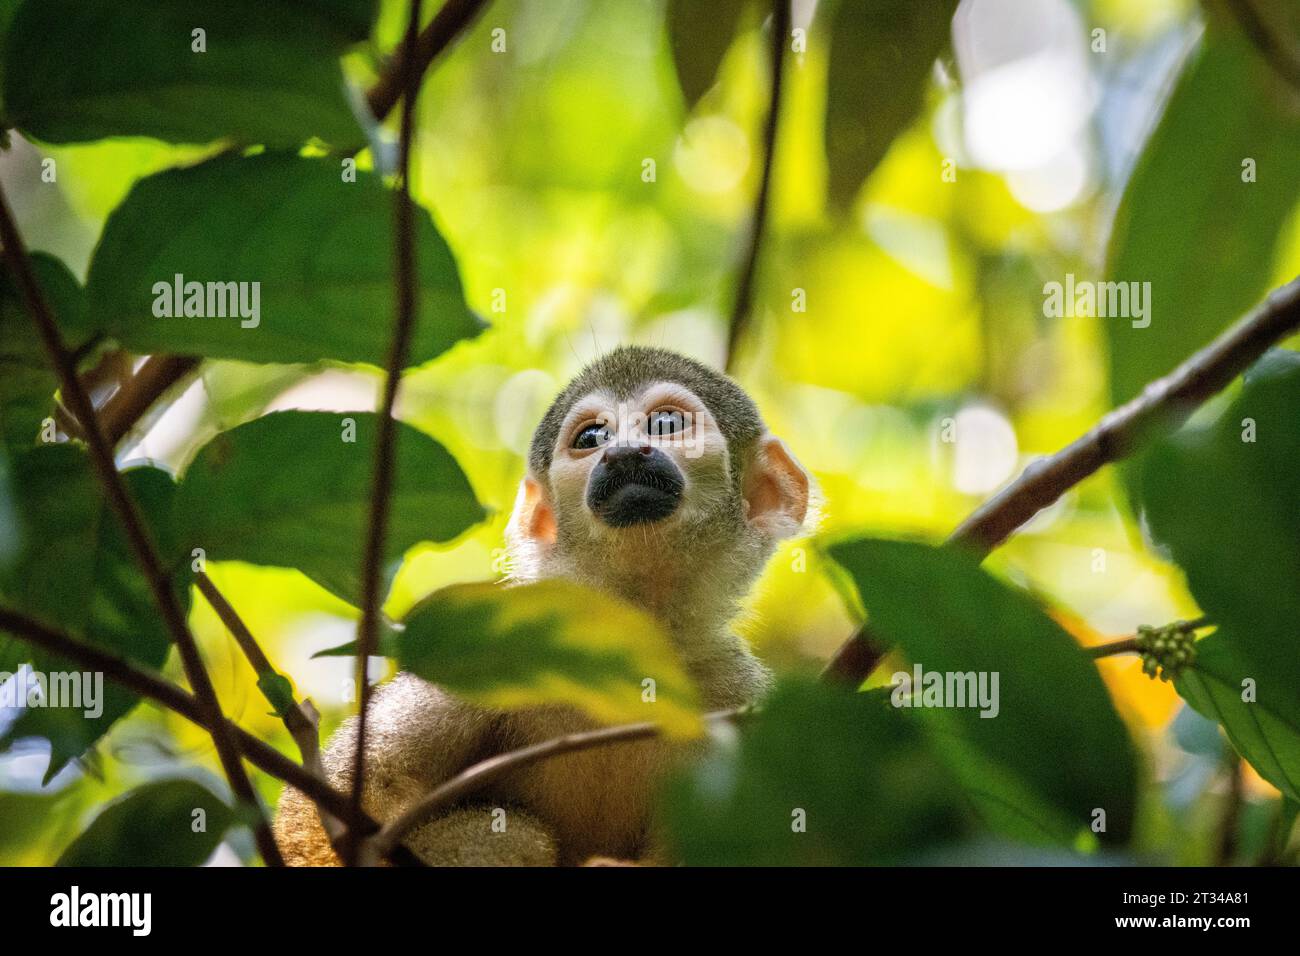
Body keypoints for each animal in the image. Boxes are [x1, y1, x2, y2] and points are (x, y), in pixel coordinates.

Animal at [274, 346, 814, 865]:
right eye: (592, 436)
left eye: (665, 424)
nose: (623, 453)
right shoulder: (488, 636)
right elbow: (351, 790)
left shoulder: (738, 694)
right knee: (510, 831)